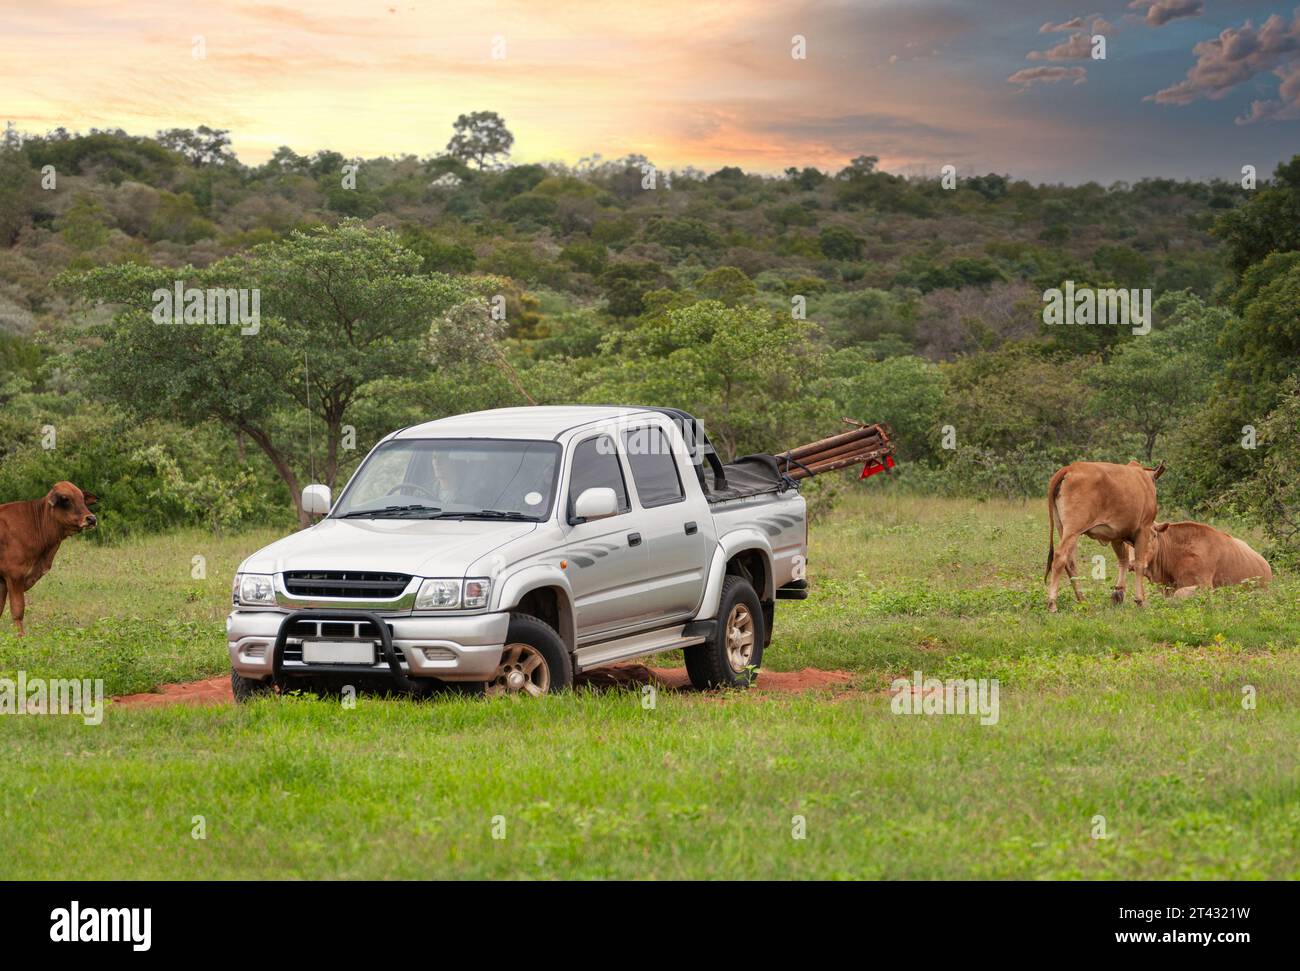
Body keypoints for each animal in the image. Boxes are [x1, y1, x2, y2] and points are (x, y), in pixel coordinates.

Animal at [0, 482, 98, 636]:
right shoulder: (14, 575)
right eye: (65, 499)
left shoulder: (2, 580)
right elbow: (18, 610)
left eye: (82, 499)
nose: (91, 519)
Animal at [1045, 460, 1164, 612]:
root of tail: (1069, 468)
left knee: (1070, 562)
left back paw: (1082, 600)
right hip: (1073, 529)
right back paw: (1052, 603)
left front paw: (1118, 593)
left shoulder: (1117, 536)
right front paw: (1140, 600)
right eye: (1154, 535)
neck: (1145, 478)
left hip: (1063, 528)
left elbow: (1123, 560)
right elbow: (1139, 564)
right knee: (1060, 557)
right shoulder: (1143, 528)